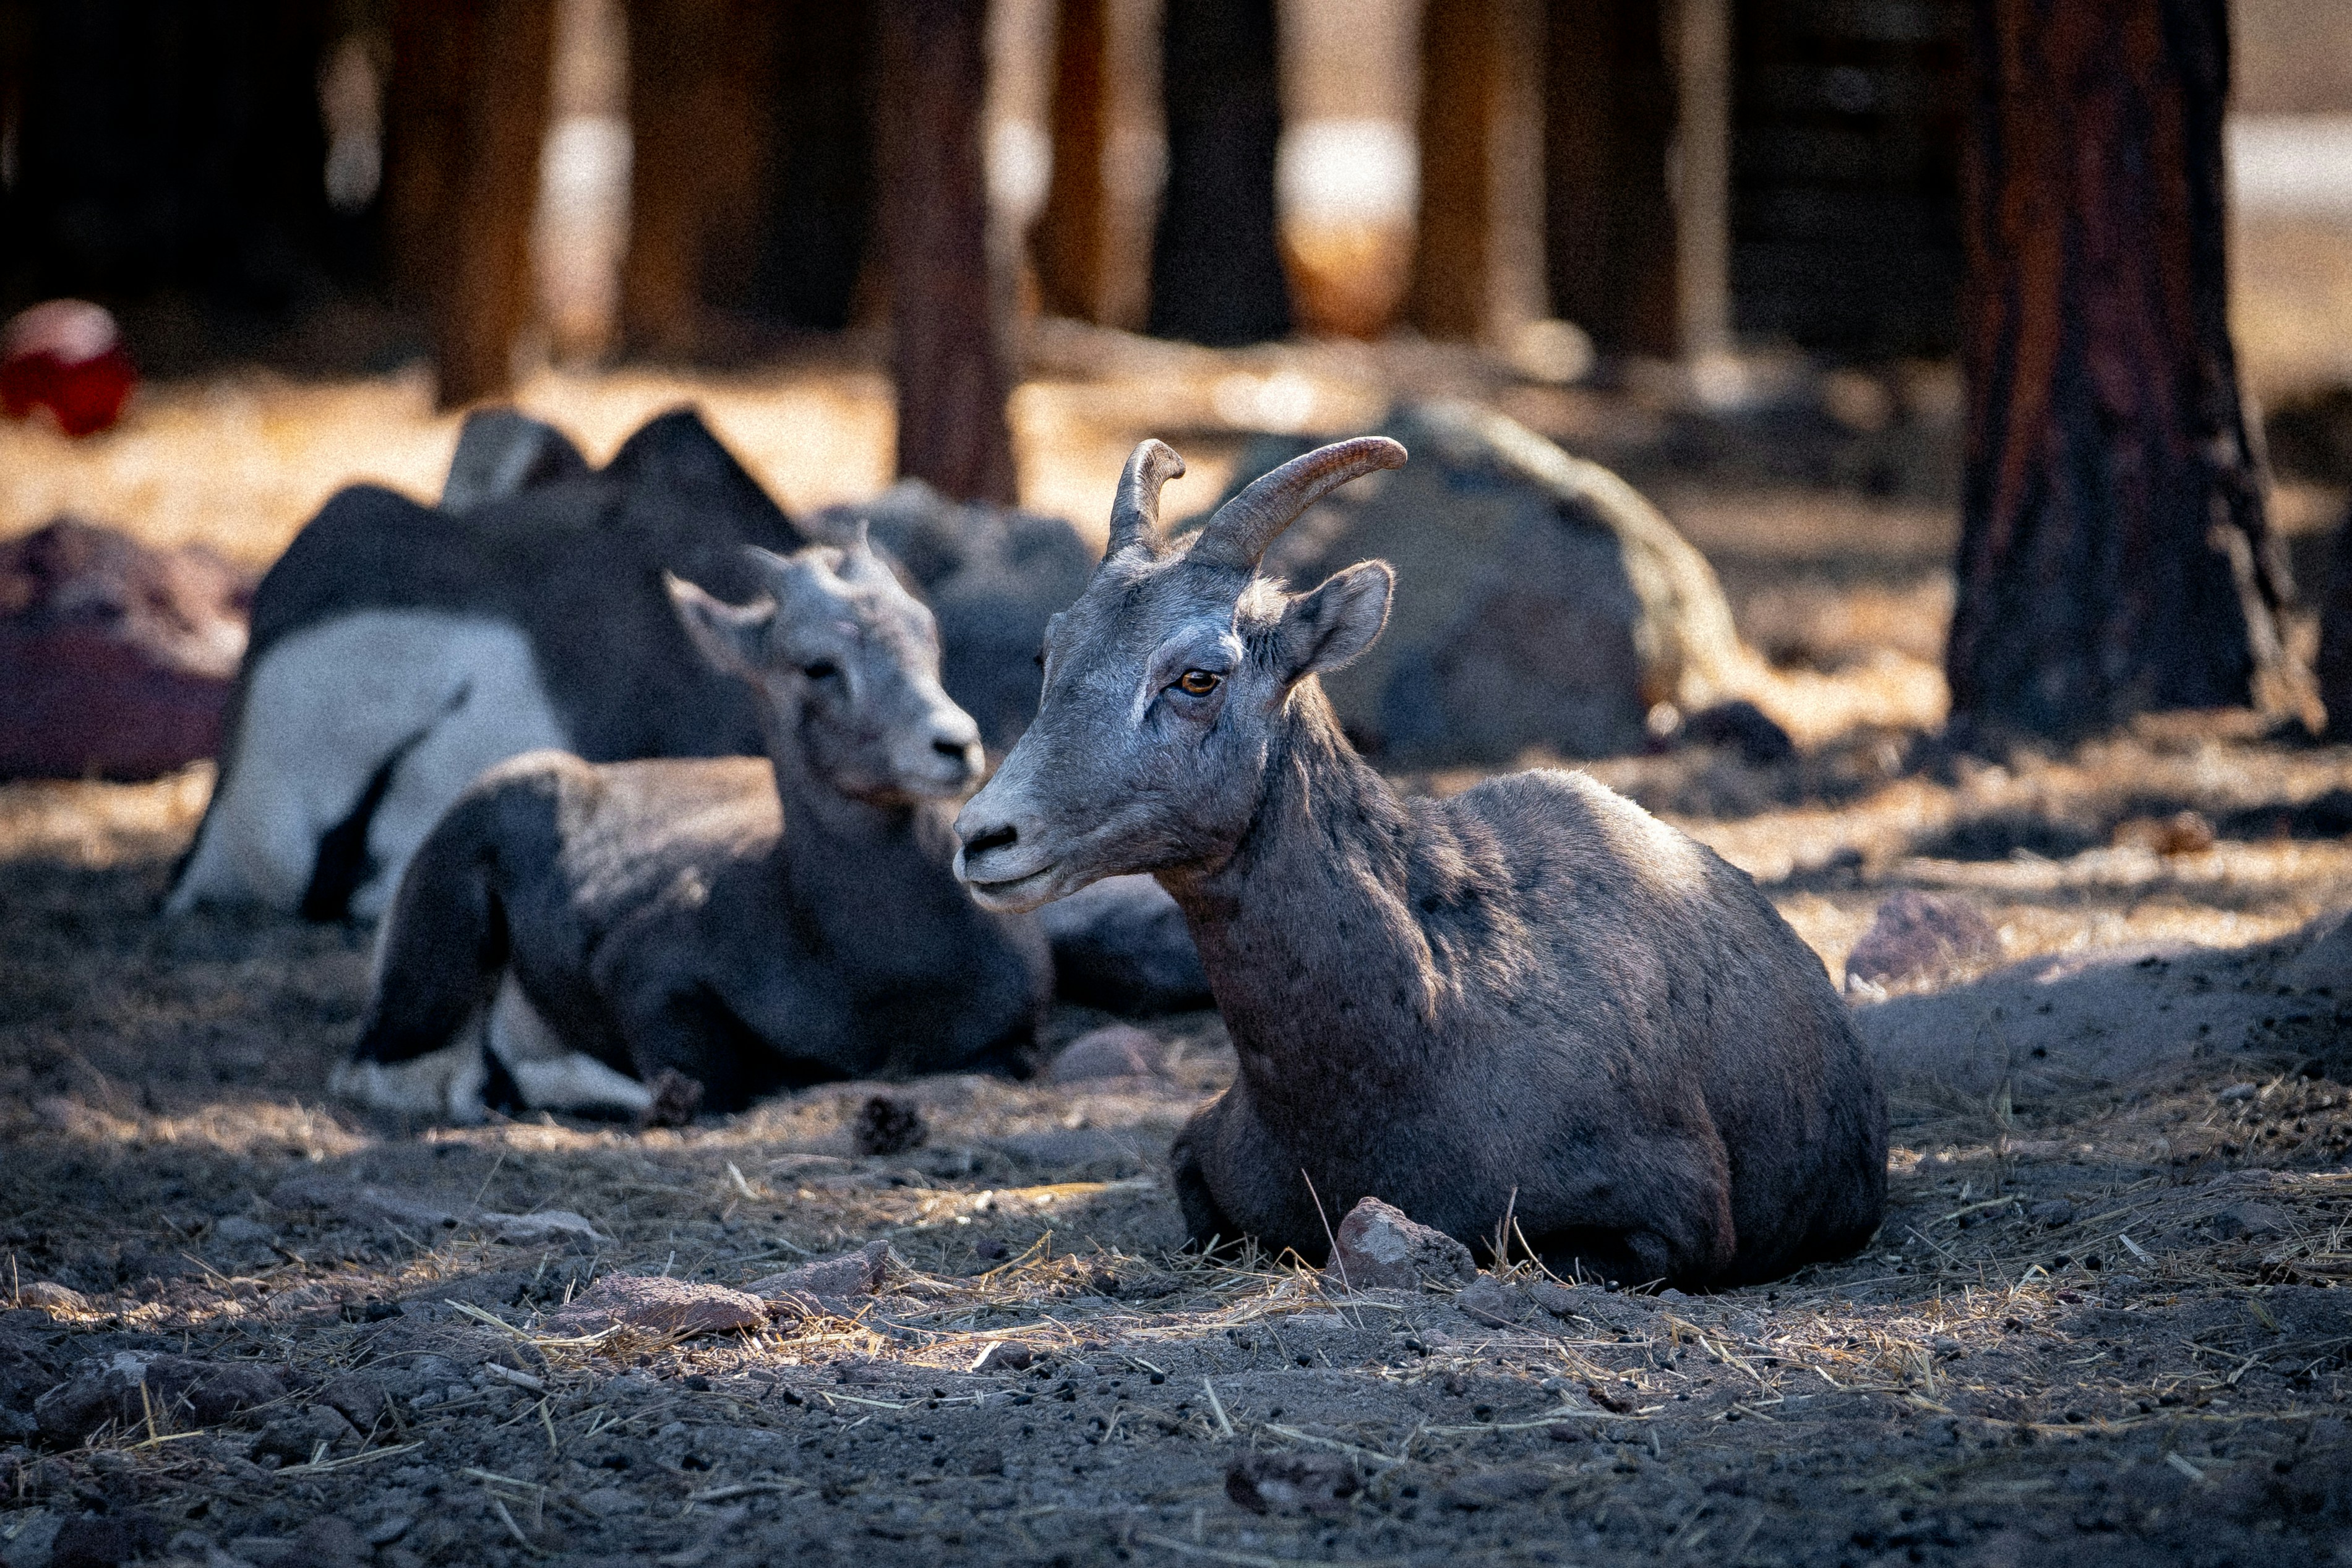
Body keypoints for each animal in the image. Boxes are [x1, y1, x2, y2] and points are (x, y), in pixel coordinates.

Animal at [331, 532, 1053, 1122]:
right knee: (378, 1072)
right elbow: (708, 1088)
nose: (955, 745)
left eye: (926, 635)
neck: (872, 967)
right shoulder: (650, 978)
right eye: (817, 664)